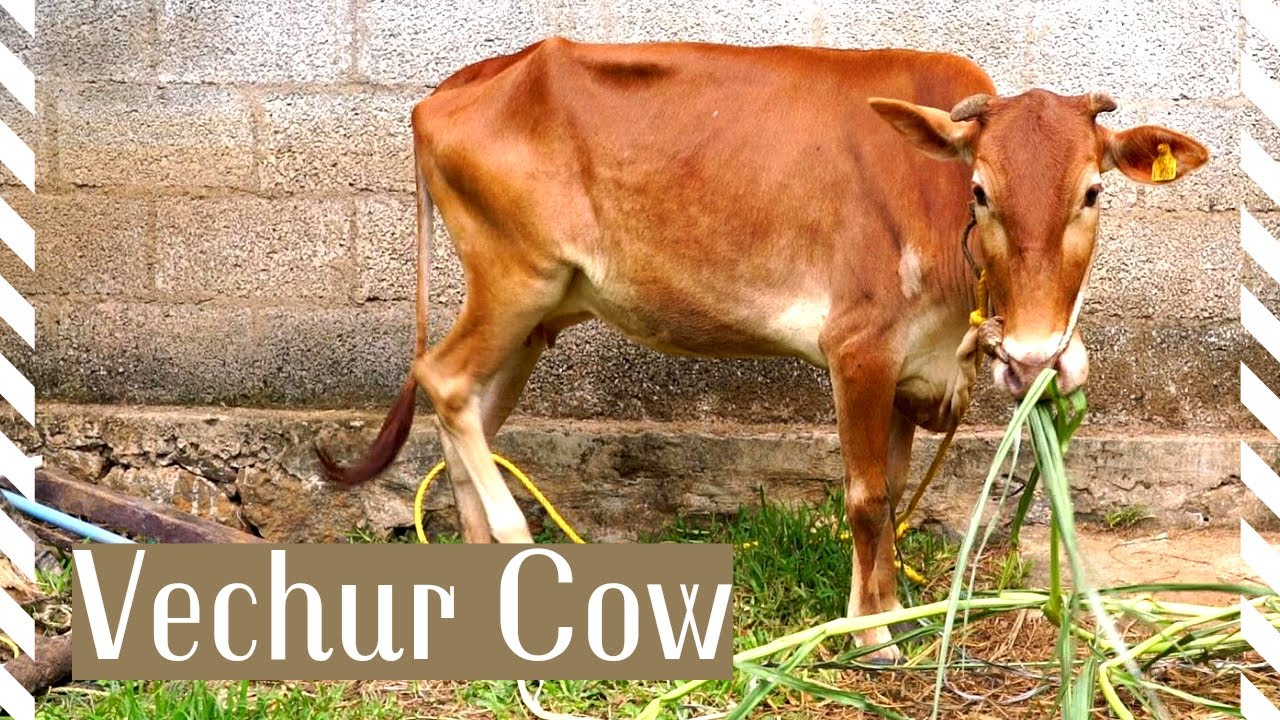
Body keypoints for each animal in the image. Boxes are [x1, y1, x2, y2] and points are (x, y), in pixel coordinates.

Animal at [317, 37, 1208, 661]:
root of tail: (452, 90)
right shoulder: (857, 349)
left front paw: (885, 618)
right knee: (443, 382)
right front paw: (870, 640)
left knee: (470, 408)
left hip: (536, 310)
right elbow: (867, 500)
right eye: (981, 191)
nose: (1034, 358)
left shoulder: (907, 371)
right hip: (513, 281)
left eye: (1092, 192)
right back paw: (512, 540)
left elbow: (892, 501)